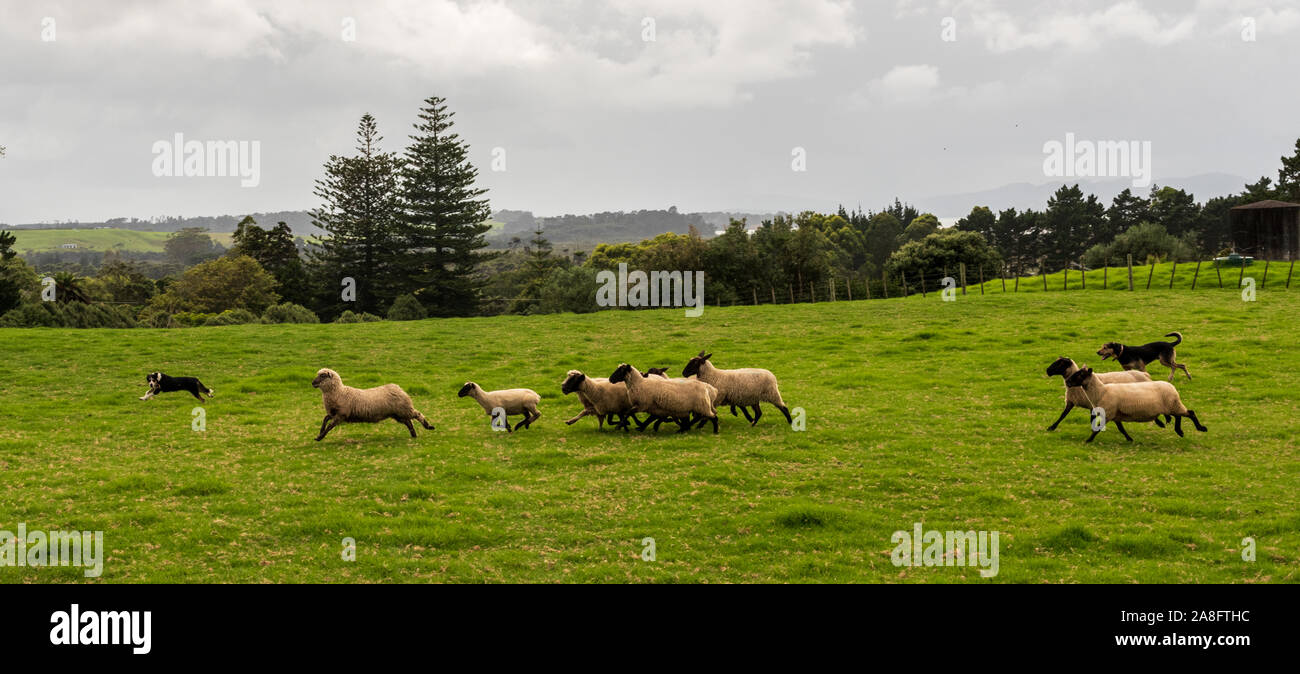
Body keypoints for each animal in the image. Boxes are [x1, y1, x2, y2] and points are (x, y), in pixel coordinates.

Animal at [1063, 366, 1207, 442]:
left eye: (1080, 374)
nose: (1068, 382)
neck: (1101, 391)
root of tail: (1172, 387)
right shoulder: (1115, 415)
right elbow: (1121, 428)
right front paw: (1129, 439)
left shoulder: (1108, 413)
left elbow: (1097, 429)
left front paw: (1088, 440)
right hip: (1172, 406)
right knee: (1179, 416)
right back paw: (1179, 431)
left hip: (1173, 404)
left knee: (1190, 413)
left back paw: (1201, 428)